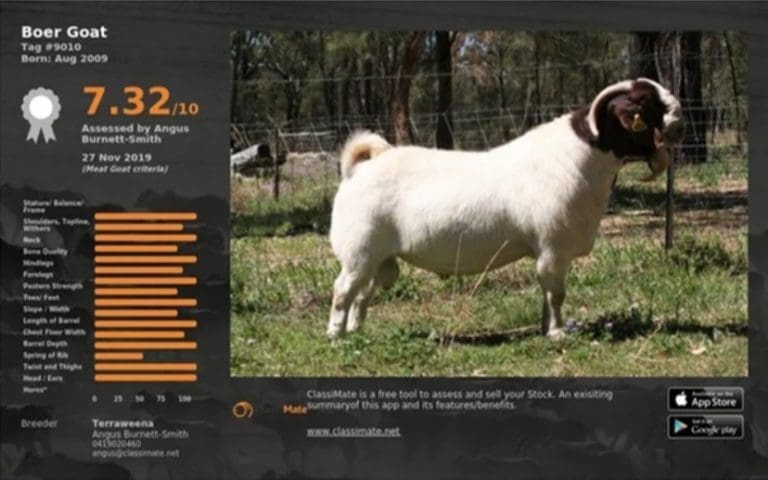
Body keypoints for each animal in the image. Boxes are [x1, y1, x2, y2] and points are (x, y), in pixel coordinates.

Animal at [327, 78, 683, 339]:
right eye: (646, 102)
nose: (679, 117)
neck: (578, 158)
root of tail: (360, 167)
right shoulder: (553, 249)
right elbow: (556, 293)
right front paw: (557, 333)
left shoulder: (547, 253)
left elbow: (546, 294)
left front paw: (545, 329)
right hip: (359, 250)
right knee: (342, 291)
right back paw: (335, 335)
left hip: (377, 258)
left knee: (363, 293)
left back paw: (356, 330)